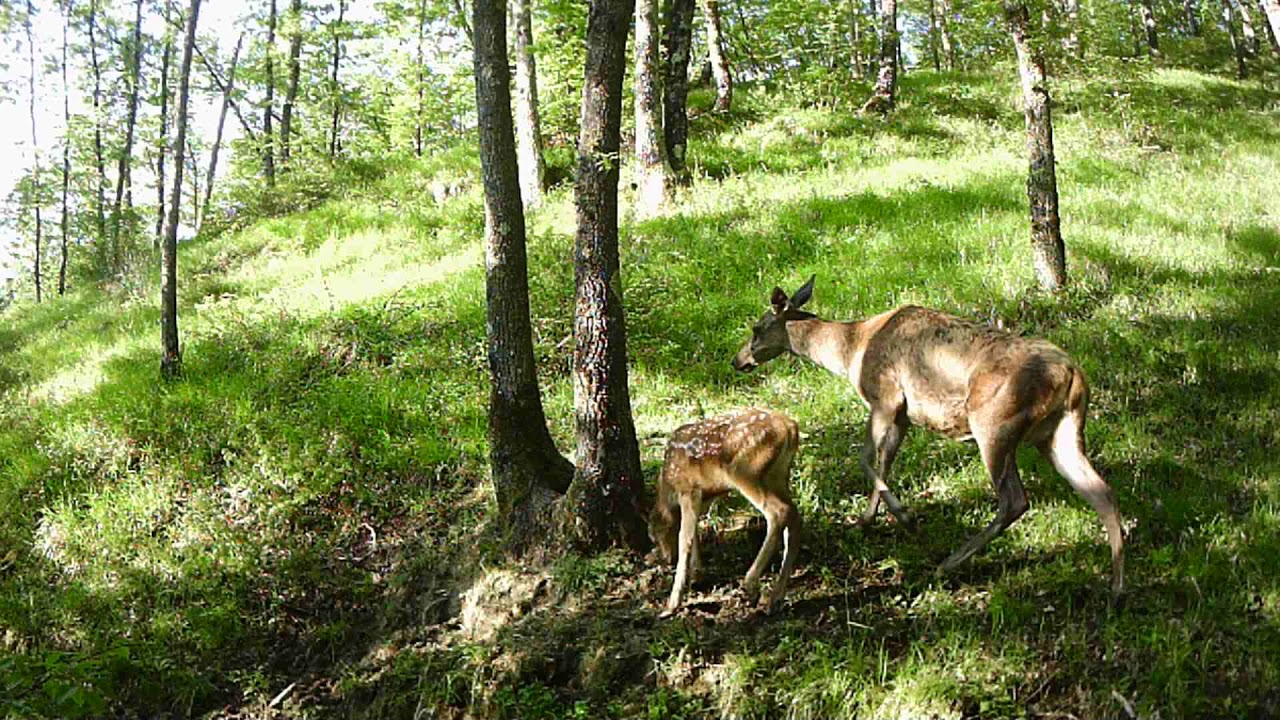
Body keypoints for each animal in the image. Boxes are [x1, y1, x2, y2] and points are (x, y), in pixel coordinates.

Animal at [649, 408, 802, 614]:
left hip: (744, 472)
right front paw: (697, 575)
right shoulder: (705, 496)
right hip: (778, 475)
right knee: (795, 516)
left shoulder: (689, 489)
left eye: (655, 535)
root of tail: (789, 426)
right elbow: (695, 531)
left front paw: (674, 601)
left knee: (779, 512)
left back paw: (750, 585)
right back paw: (775, 598)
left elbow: (684, 537)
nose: (667, 559)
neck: (667, 485)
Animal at [732, 276, 1125, 598]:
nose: (738, 361)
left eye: (755, 328)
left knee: (1015, 499)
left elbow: (864, 458)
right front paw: (867, 519)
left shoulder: (885, 396)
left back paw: (948, 563)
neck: (851, 351)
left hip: (994, 423)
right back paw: (1116, 587)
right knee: (1101, 491)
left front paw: (904, 517)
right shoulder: (903, 414)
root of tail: (1073, 375)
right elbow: (881, 459)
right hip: (1060, 432)